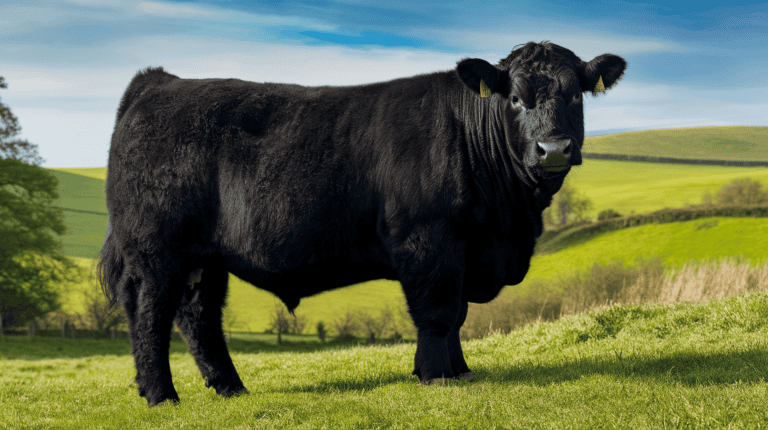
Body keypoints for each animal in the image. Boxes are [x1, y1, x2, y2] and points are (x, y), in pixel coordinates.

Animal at [99, 41, 626, 406]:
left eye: (576, 96)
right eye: (515, 99)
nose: (553, 149)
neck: (508, 220)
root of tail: (159, 82)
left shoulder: (464, 249)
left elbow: (457, 315)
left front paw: (460, 371)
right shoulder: (427, 240)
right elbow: (437, 313)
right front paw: (435, 375)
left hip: (206, 259)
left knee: (199, 316)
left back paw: (230, 388)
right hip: (156, 251)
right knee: (149, 316)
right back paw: (161, 395)